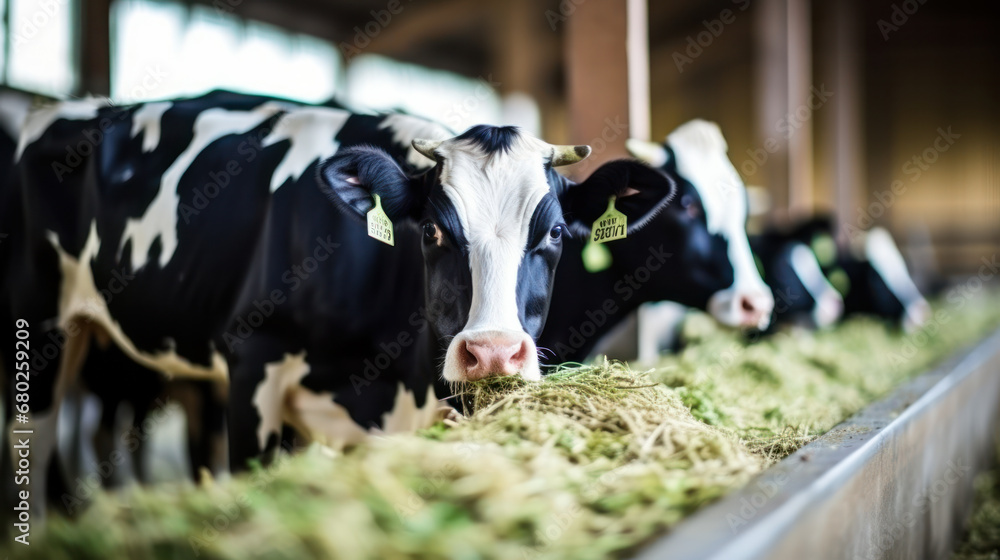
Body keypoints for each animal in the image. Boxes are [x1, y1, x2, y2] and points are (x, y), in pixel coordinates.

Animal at [4, 90, 676, 514]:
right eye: (432, 231)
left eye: (556, 233)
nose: (491, 354)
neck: (397, 379)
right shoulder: (253, 362)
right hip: (39, 324)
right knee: (32, 442)